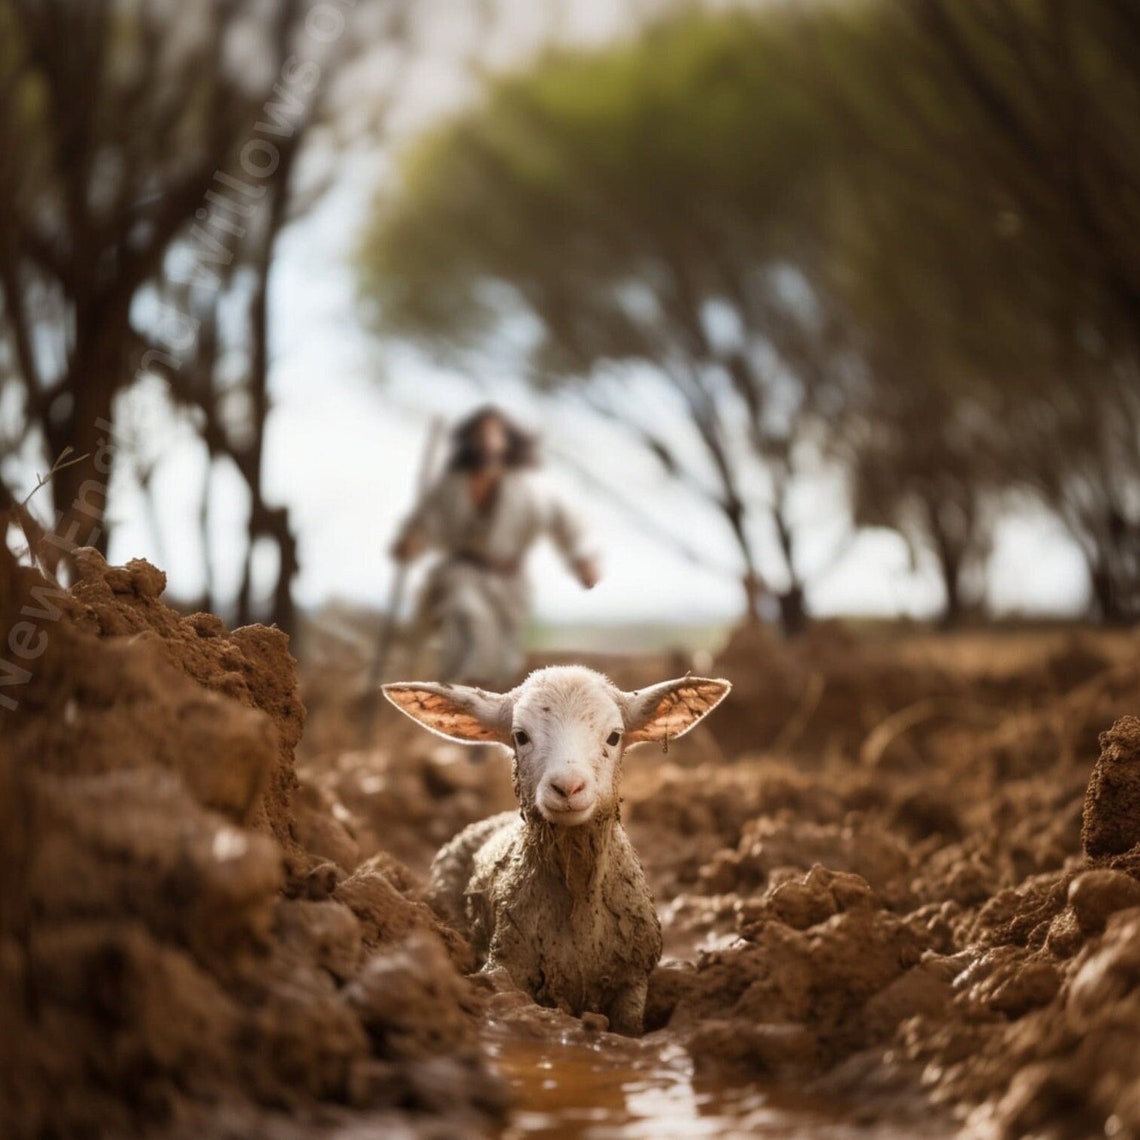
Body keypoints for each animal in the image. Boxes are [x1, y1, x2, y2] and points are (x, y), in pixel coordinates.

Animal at [383, 664, 731, 1035]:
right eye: (520, 736)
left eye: (614, 737)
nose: (567, 787)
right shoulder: (507, 967)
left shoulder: (634, 981)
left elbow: (628, 1025)